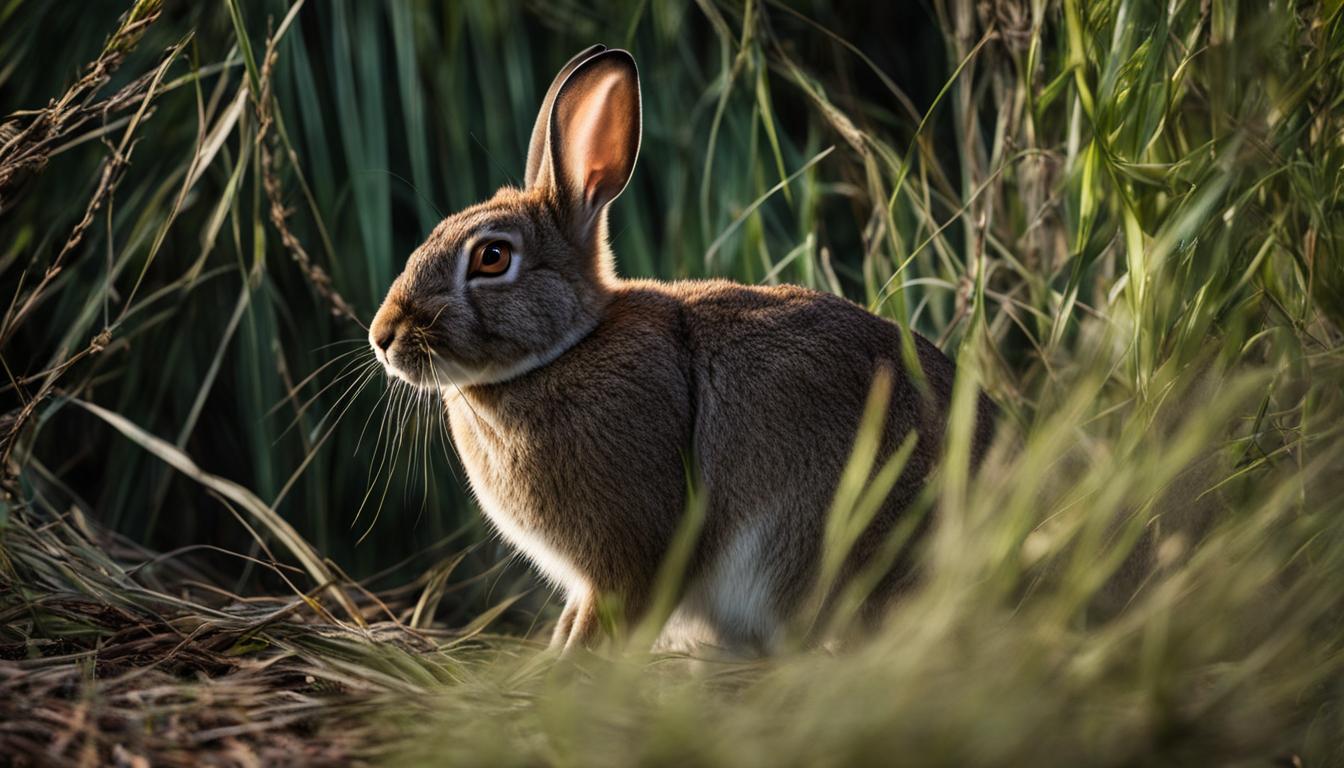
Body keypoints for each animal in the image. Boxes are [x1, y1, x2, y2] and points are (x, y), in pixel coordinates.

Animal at [368, 44, 995, 655]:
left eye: (492, 257)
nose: (382, 336)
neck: (565, 350)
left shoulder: (627, 556)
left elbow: (602, 622)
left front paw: (568, 670)